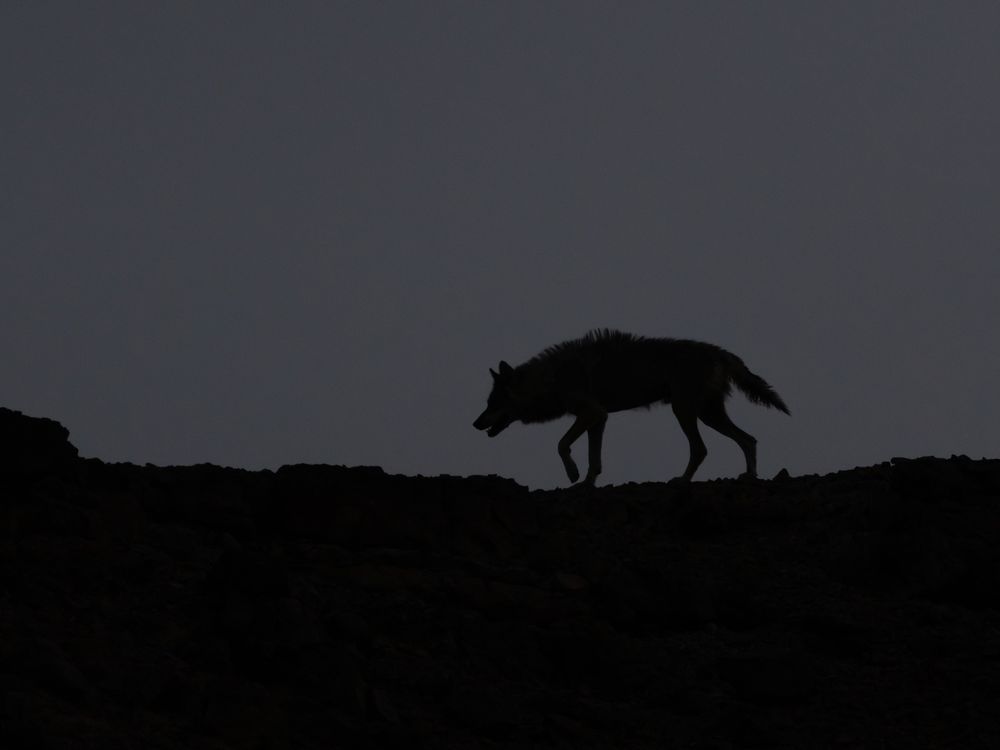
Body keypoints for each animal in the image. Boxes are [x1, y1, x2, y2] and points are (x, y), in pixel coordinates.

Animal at [473, 329, 789, 485]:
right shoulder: (598, 418)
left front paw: (573, 475)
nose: (475, 423)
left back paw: (682, 480)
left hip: (685, 412)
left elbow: (562, 444)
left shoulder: (592, 413)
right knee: (748, 439)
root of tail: (721, 352)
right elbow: (594, 458)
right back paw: (749, 476)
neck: (552, 379)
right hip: (708, 414)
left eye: (492, 403)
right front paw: (587, 482)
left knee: (701, 449)